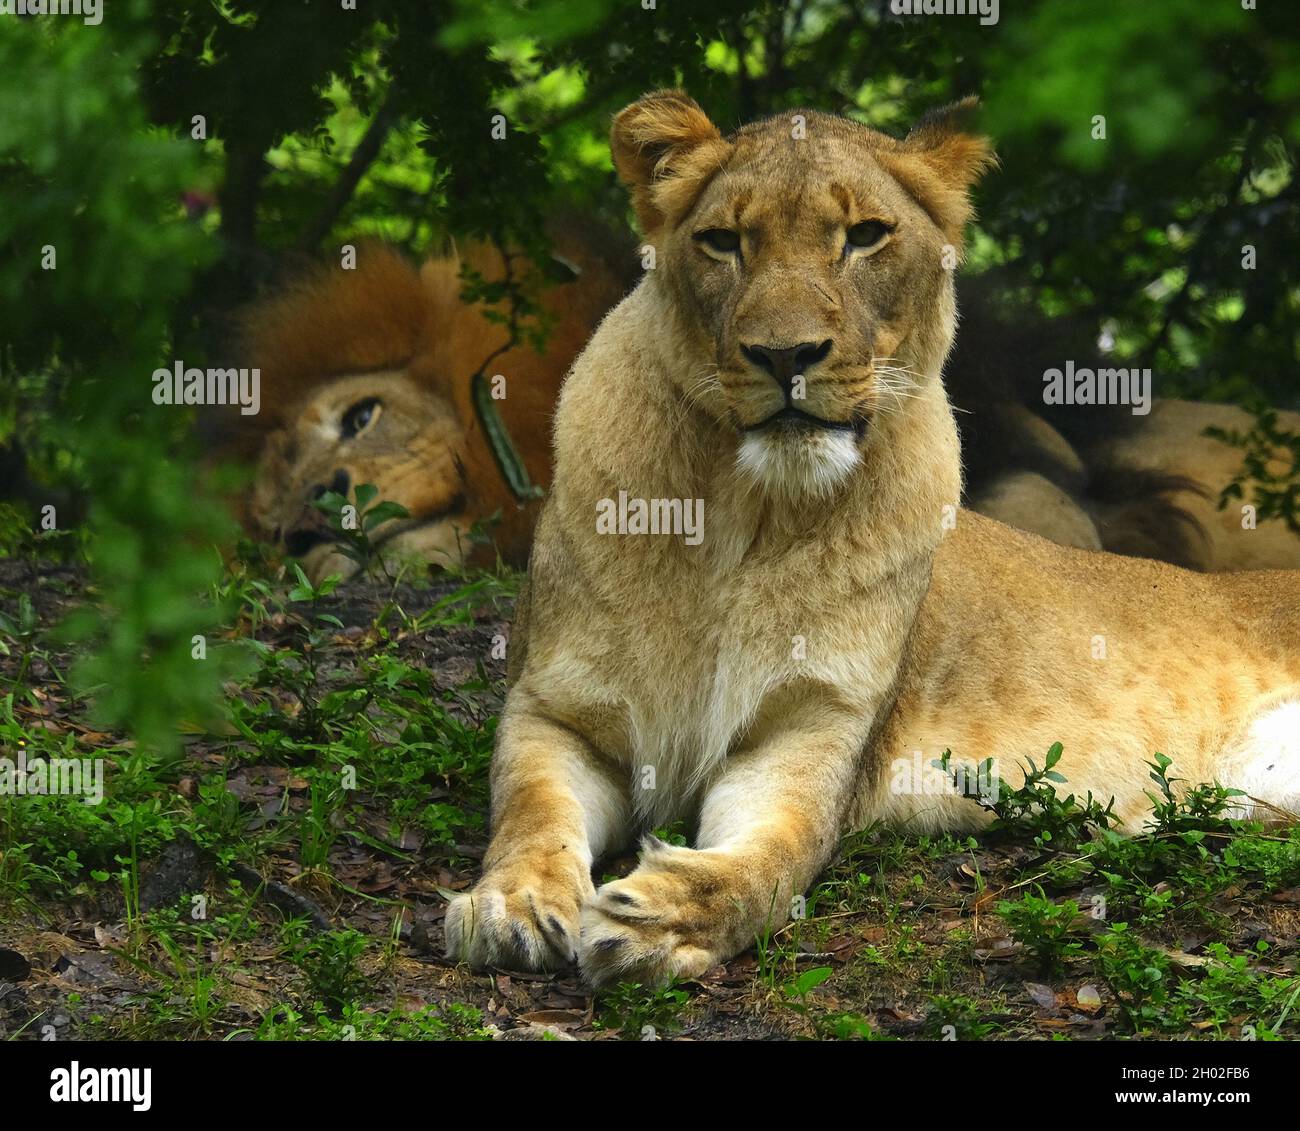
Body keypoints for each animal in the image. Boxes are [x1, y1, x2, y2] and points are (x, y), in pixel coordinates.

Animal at [443, 91, 1300, 987]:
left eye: (863, 236)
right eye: (723, 242)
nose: (785, 353)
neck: (746, 514)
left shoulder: (816, 733)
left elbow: (772, 860)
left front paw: (668, 916)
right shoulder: (556, 708)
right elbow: (531, 809)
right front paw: (512, 904)